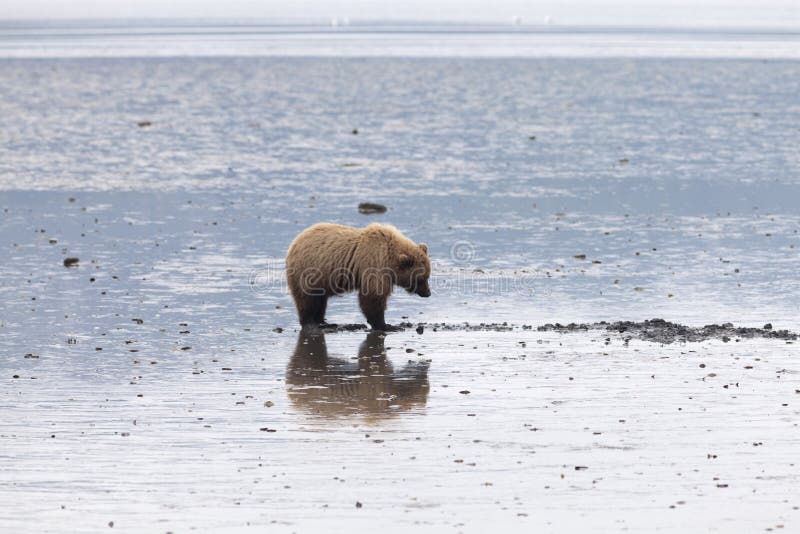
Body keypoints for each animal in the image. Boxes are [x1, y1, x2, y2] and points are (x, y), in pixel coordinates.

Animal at [285, 223, 431, 331]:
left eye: (428, 276)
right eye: (421, 279)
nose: (427, 293)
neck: (390, 257)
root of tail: (294, 243)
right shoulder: (374, 264)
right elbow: (373, 297)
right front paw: (385, 325)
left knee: (321, 300)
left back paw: (325, 322)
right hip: (309, 271)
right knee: (308, 299)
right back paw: (311, 323)